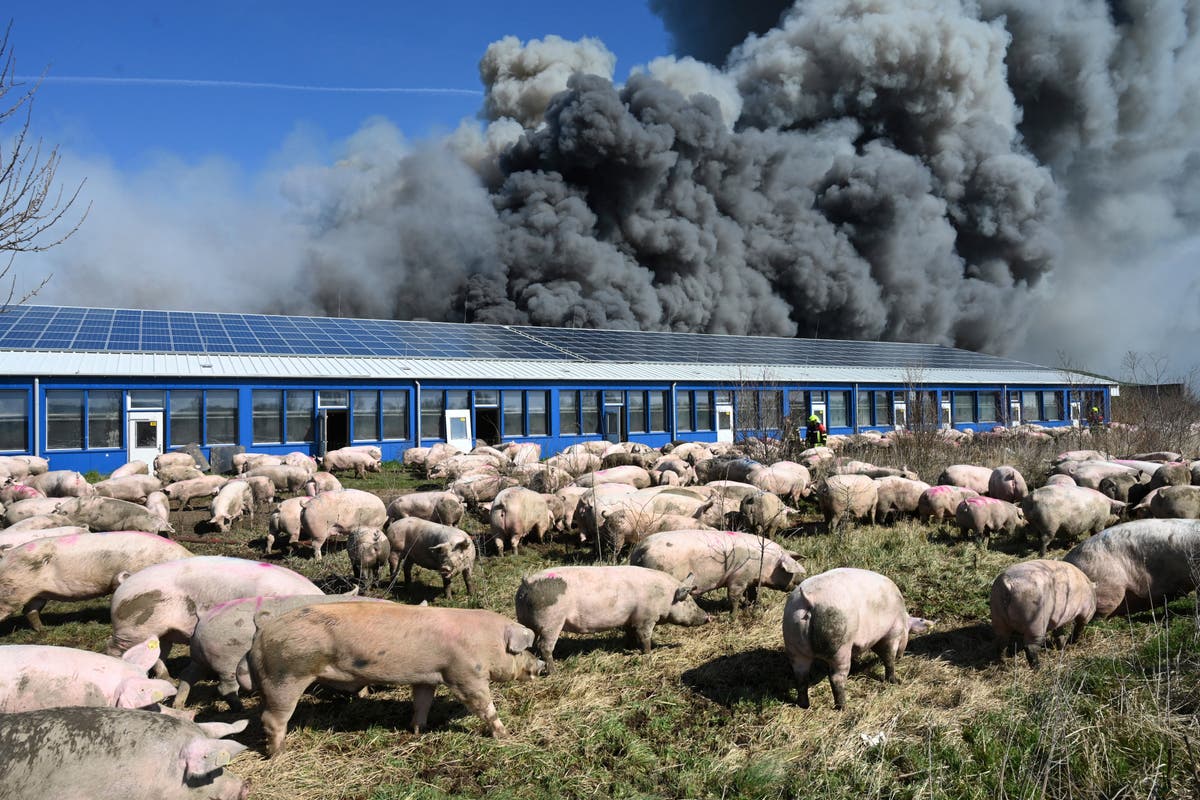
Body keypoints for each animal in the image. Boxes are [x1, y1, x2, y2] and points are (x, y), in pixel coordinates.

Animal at [175, 592, 363, 709]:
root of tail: (204, 617)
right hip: (225, 661)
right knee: (224, 688)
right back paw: (239, 708)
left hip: (199, 657)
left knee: (187, 675)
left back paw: (178, 705)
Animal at [249, 602, 543, 755]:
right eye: (521, 649)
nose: (542, 666)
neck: (485, 642)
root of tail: (262, 634)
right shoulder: (466, 675)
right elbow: (484, 706)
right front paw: (505, 735)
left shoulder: (427, 677)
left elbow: (422, 702)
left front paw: (418, 730)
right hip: (287, 674)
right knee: (273, 719)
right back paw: (279, 753)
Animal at [514, 565, 709, 671]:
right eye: (688, 600)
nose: (708, 617)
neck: (665, 597)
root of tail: (527, 583)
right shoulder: (646, 618)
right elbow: (645, 637)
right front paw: (648, 654)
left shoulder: (630, 618)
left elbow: (630, 633)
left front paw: (629, 648)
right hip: (552, 622)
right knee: (545, 646)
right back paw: (555, 672)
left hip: (527, 622)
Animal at [630, 529, 806, 609]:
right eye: (790, 572)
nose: (801, 581)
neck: (767, 562)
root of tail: (642, 548)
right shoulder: (738, 577)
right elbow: (734, 596)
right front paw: (734, 614)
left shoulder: (750, 579)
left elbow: (751, 593)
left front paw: (749, 606)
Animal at [783, 567, 931, 710]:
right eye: (908, 633)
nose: (901, 657)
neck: (903, 618)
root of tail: (808, 600)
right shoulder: (892, 633)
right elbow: (888, 658)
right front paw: (895, 681)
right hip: (839, 645)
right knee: (836, 678)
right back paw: (843, 708)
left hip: (793, 644)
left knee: (801, 677)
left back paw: (804, 705)